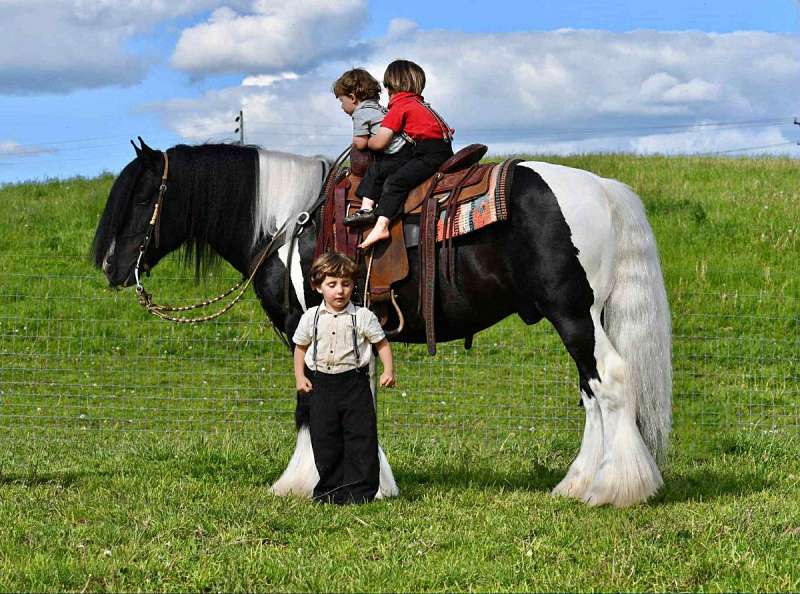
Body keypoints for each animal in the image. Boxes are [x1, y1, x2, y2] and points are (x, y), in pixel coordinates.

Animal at [92, 139, 672, 507]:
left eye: (141, 196)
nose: (110, 266)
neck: (287, 226)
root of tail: (602, 188)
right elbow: (359, 396)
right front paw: (369, 482)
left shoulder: (306, 324)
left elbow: (310, 401)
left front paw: (305, 482)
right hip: (578, 317)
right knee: (590, 391)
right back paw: (576, 485)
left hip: (572, 312)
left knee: (610, 381)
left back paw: (614, 489)